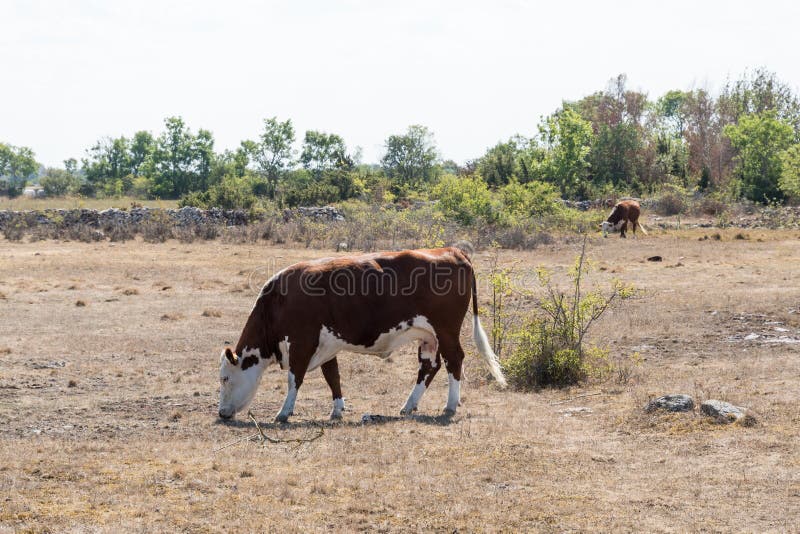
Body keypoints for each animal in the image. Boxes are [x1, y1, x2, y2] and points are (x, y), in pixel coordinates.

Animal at [217, 246, 506, 423]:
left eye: (224, 378)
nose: (221, 413)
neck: (278, 301)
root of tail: (452, 251)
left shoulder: (302, 342)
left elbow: (294, 379)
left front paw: (284, 412)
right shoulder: (326, 344)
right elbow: (332, 376)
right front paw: (337, 410)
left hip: (446, 331)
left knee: (454, 360)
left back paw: (450, 405)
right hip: (428, 336)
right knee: (429, 367)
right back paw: (408, 405)